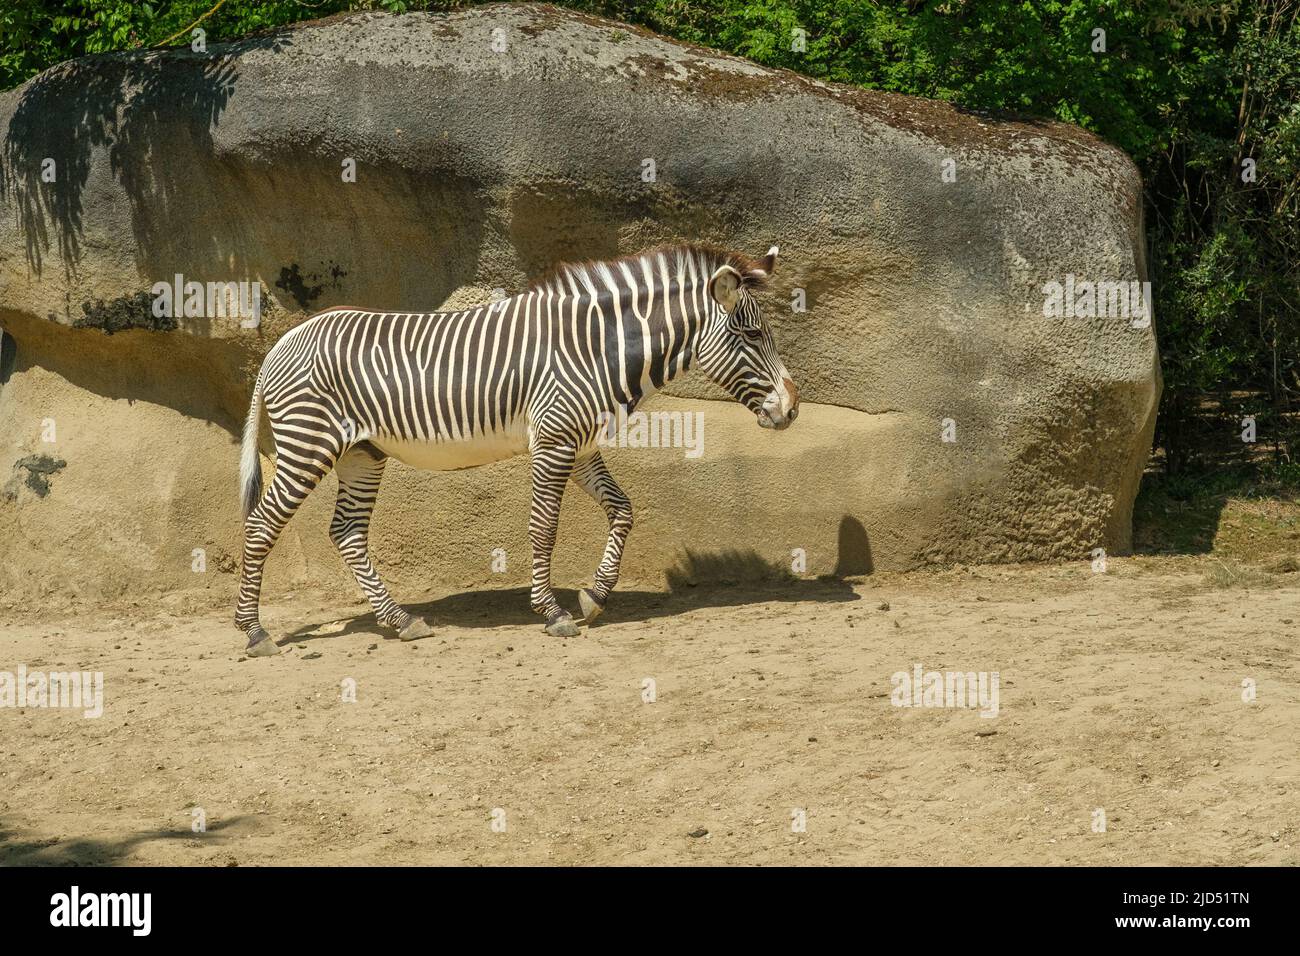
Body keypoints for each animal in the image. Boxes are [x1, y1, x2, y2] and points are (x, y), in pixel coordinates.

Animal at [236, 242, 800, 656]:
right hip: (309, 443)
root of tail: (280, 345)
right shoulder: (553, 439)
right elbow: (544, 527)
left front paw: (594, 597)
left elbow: (623, 510)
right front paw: (552, 613)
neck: (595, 348)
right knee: (262, 524)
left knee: (347, 531)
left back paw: (401, 620)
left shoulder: (581, 443)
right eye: (752, 334)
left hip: (362, 452)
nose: (793, 409)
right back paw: (255, 632)